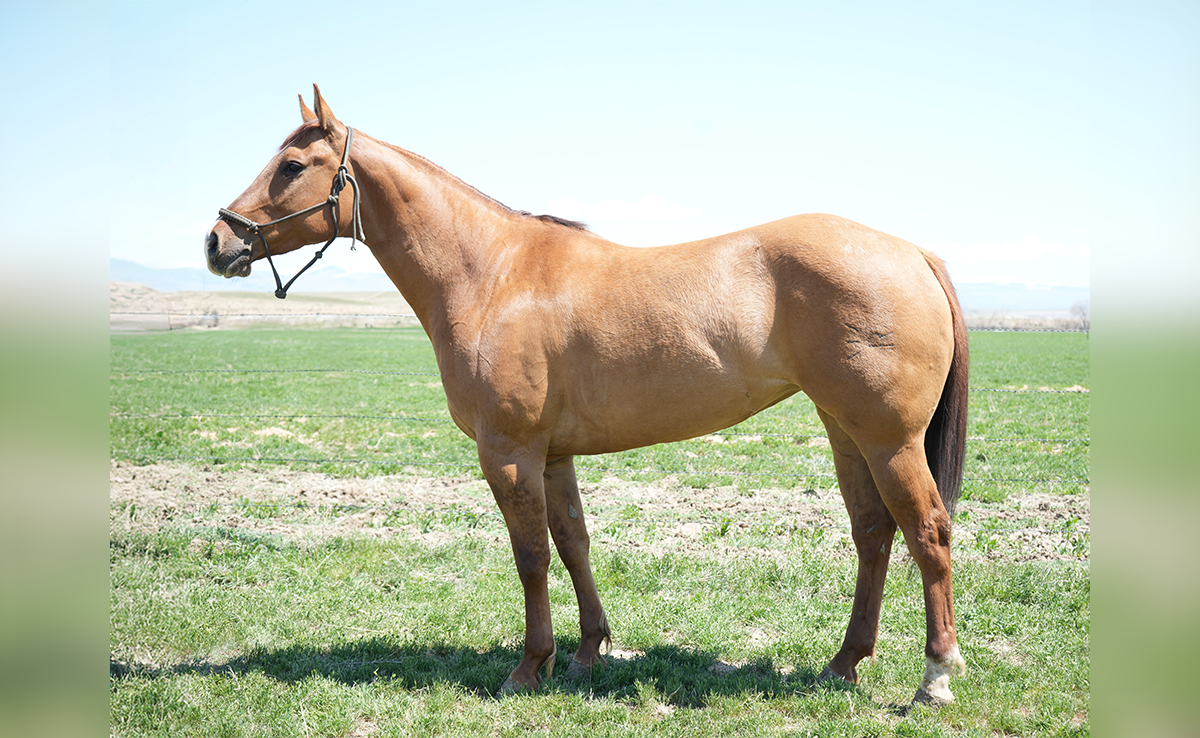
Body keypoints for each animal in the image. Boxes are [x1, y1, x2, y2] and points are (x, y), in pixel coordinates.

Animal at [206, 85, 969, 705]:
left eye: (290, 166)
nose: (217, 242)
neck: (493, 274)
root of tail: (913, 253)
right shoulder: (551, 455)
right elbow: (574, 543)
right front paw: (587, 652)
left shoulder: (508, 452)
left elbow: (531, 557)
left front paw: (529, 667)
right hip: (846, 429)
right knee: (873, 533)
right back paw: (843, 663)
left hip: (888, 439)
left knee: (927, 532)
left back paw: (935, 677)